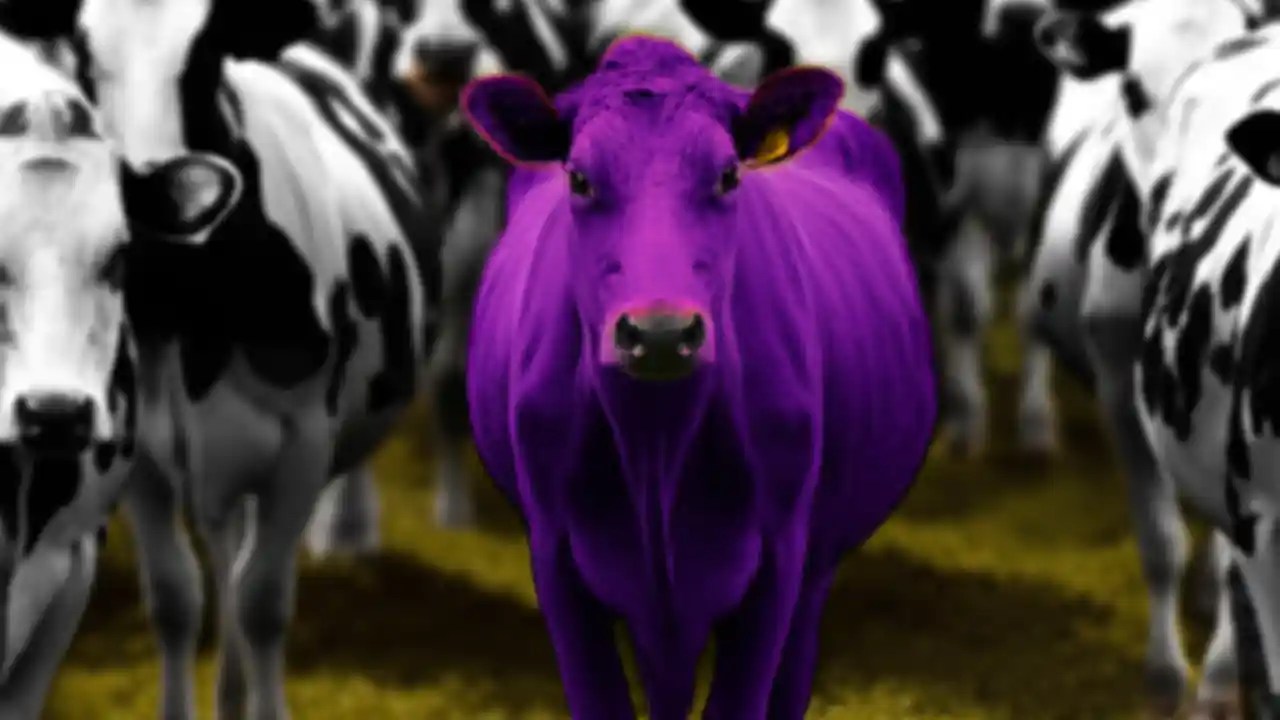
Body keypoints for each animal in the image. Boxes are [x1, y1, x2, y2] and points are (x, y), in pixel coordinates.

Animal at [460, 36, 937, 719]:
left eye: (729, 174)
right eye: (579, 178)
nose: (660, 331)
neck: (657, 443)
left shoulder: (778, 559)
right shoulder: (555, 556)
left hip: (816, 566)